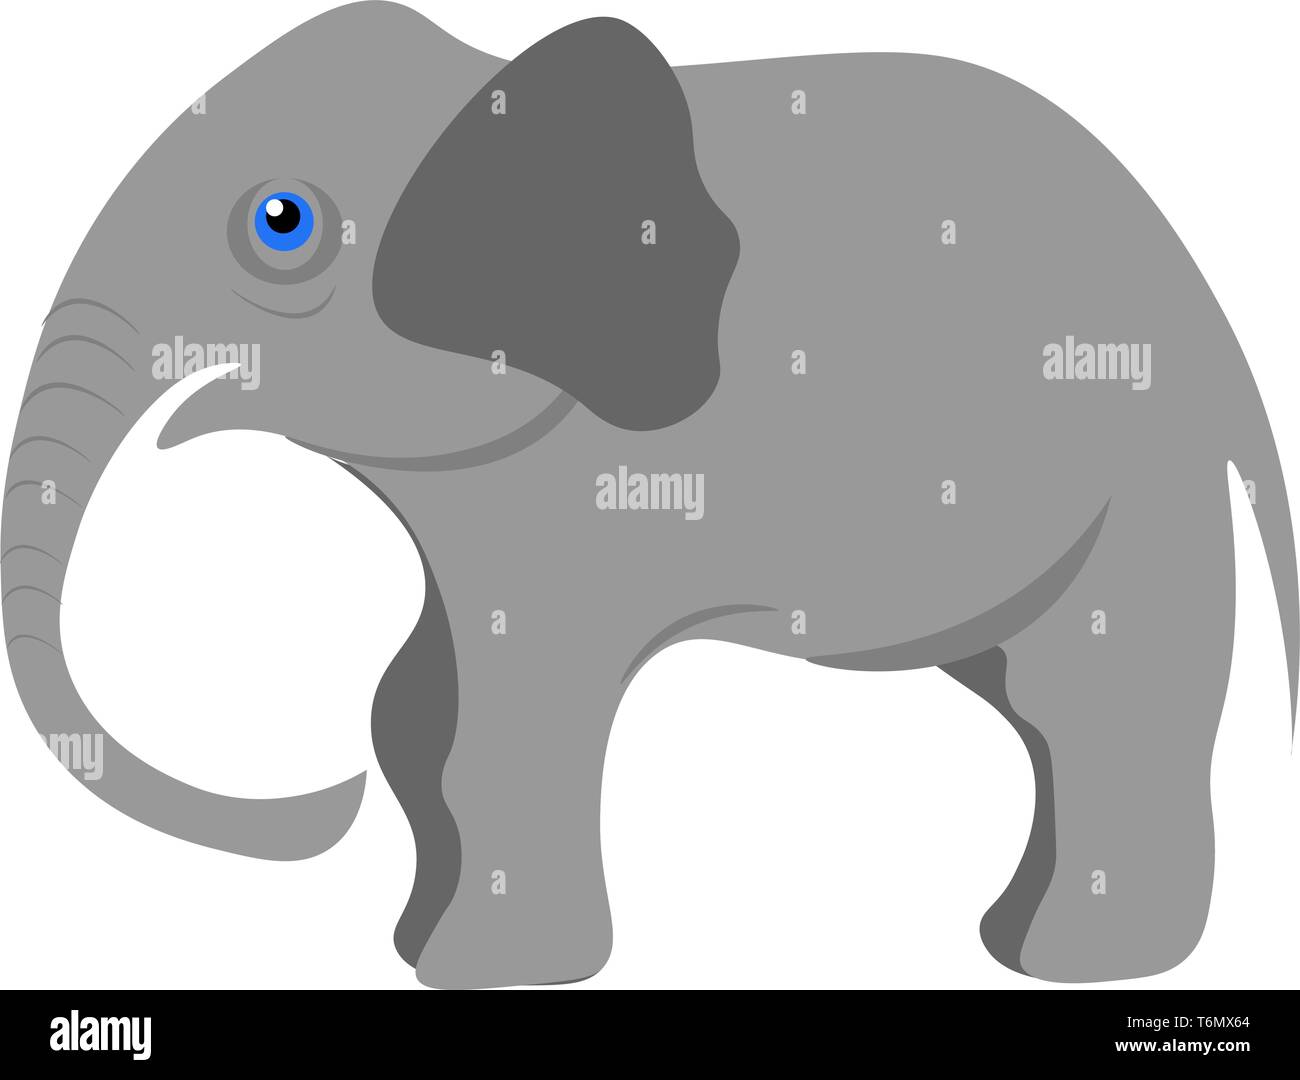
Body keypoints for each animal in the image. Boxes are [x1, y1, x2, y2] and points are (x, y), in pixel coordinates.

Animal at [3, 1, 1295, 989]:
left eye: (282, 225)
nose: (324, 806)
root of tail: (1212, 306)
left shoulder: (567, 483)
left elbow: (506, 711)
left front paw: (489, 972)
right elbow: (415, 701)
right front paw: (420, 948)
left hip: (1143, 475)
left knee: (1101, 694)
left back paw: (1080, 962)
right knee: (1037, 705)